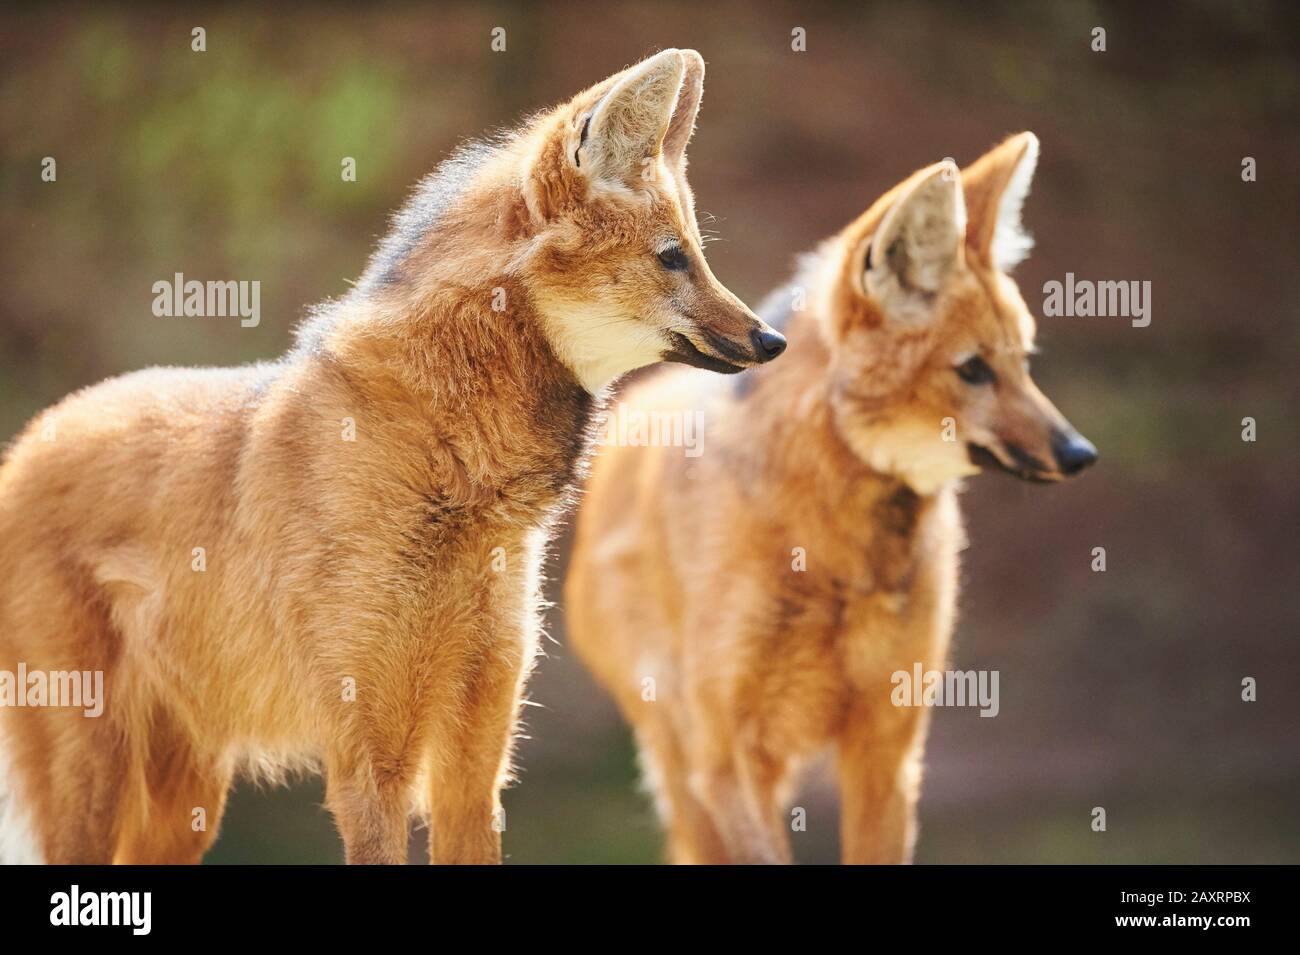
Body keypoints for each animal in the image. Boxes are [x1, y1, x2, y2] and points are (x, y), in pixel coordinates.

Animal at [0, 48, 784, 864]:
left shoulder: (478, 757)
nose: (772, 340)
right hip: (94, 780)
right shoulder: (369, 761)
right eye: (672, 259)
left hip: (186, 801)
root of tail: (29, 438)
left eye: (697, 256)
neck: (461, 485)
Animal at [565, 133, 1096, 864]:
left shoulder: (887, 746)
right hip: (682, 756)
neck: (843, 553)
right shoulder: (728, 757)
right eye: (972, 370)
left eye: (1023, 363)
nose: (1079, 453)